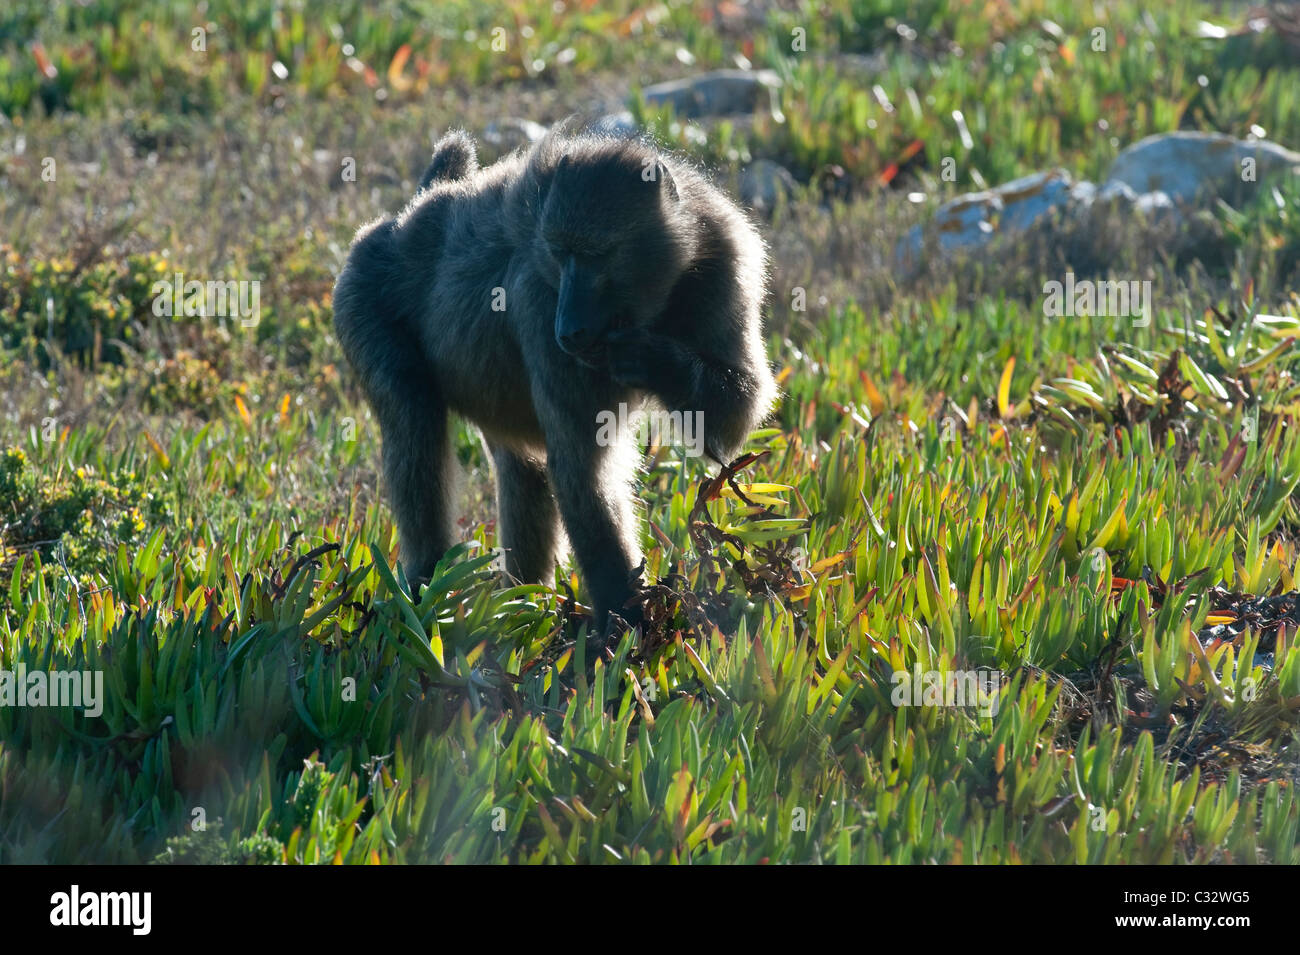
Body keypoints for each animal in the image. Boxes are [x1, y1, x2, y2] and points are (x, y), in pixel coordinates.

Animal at [332, 127, 777, 637]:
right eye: (561, 254)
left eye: (597, 256)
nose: (568, 331)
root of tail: (406, 216)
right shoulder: (537, 302)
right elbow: (584, 469)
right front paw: (629, 628)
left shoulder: (726, 266)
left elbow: (730, 421)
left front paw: (649, 357)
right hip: (362, 298)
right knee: (415, 430)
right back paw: (429, 595)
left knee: (521, 468)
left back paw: (522, 604)